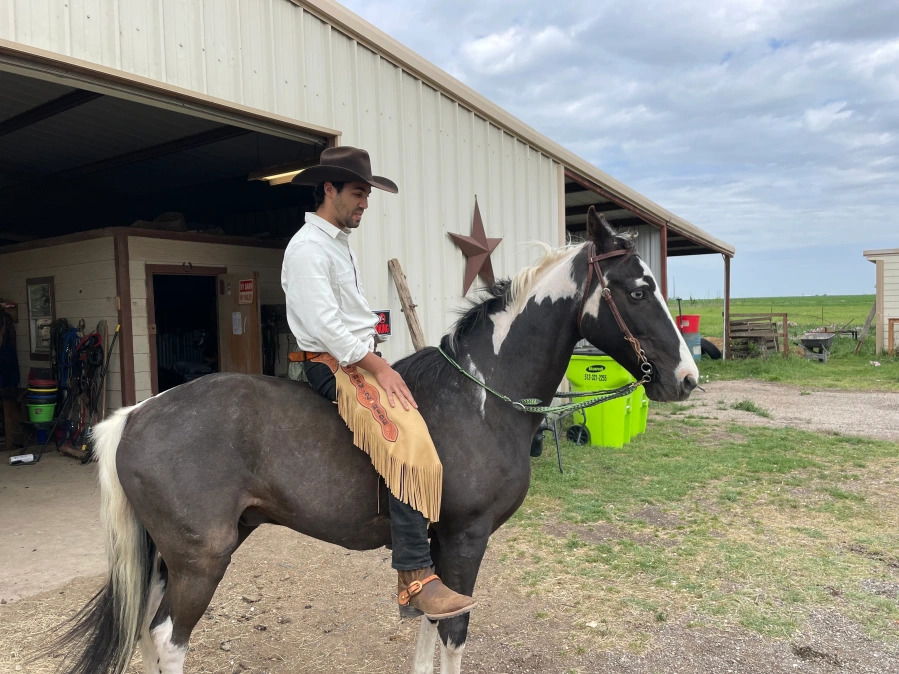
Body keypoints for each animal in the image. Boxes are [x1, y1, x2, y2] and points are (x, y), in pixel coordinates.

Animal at [46, 207, 698, 674]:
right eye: (638, 291)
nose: (687, 378)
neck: (481, 396)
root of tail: (134, 415)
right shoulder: (466, 537)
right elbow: (453, 633)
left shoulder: (438, 551)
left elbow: (429, 628)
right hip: (199, 560)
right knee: (168, 639)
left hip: (170, 558)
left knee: (149, 637)